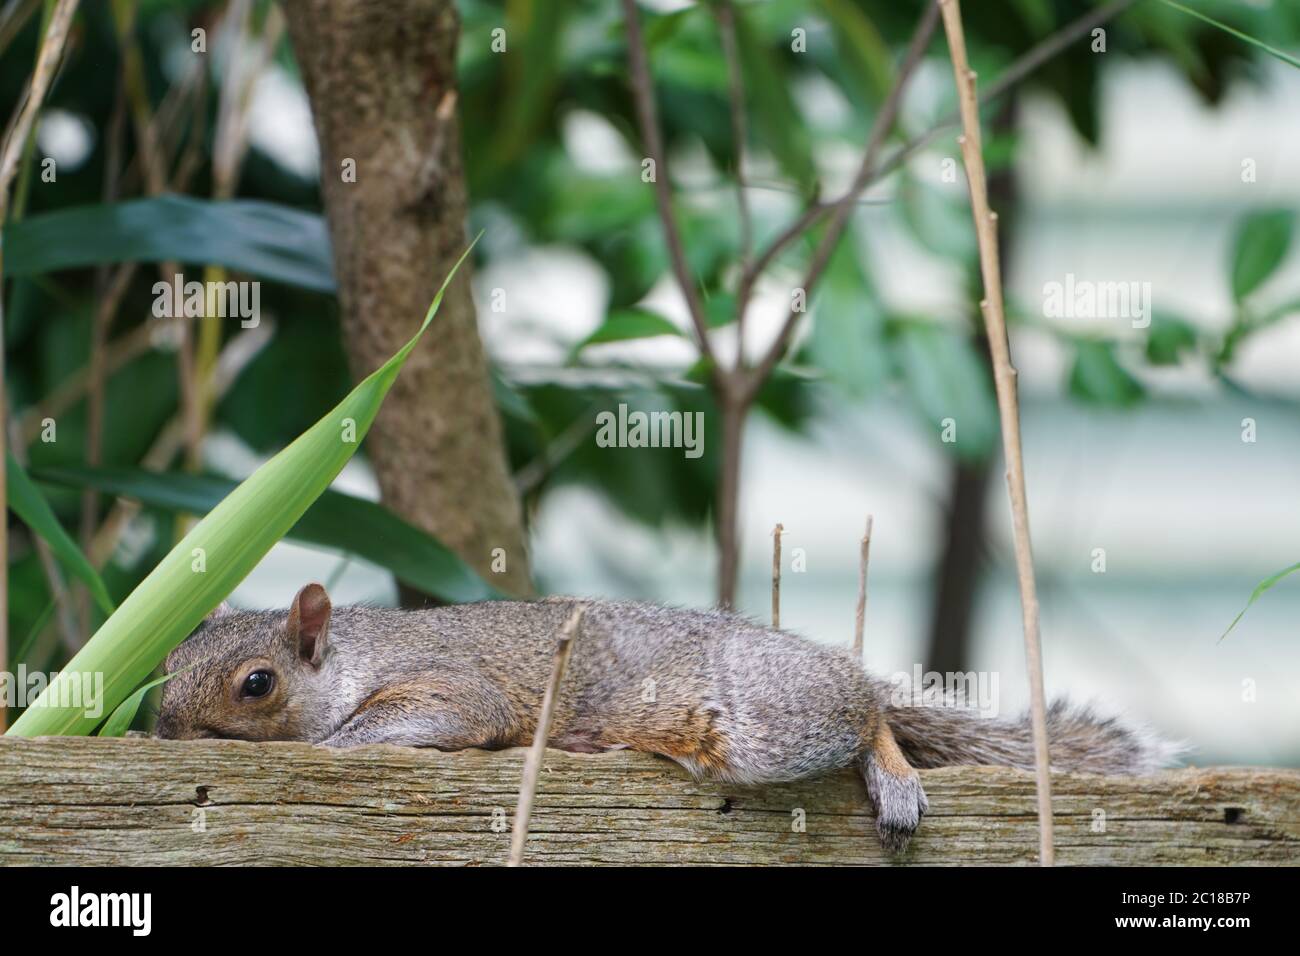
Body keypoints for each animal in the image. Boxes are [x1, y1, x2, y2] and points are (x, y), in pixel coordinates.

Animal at [155, 583, 1176, 852]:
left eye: (256, 685)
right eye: (167, 660)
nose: (162, 731)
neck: (353, 656)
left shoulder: (446, 684)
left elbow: (425, 719)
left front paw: (333, 737)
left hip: (752, 720)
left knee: (861, 708)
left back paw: (891, 769)